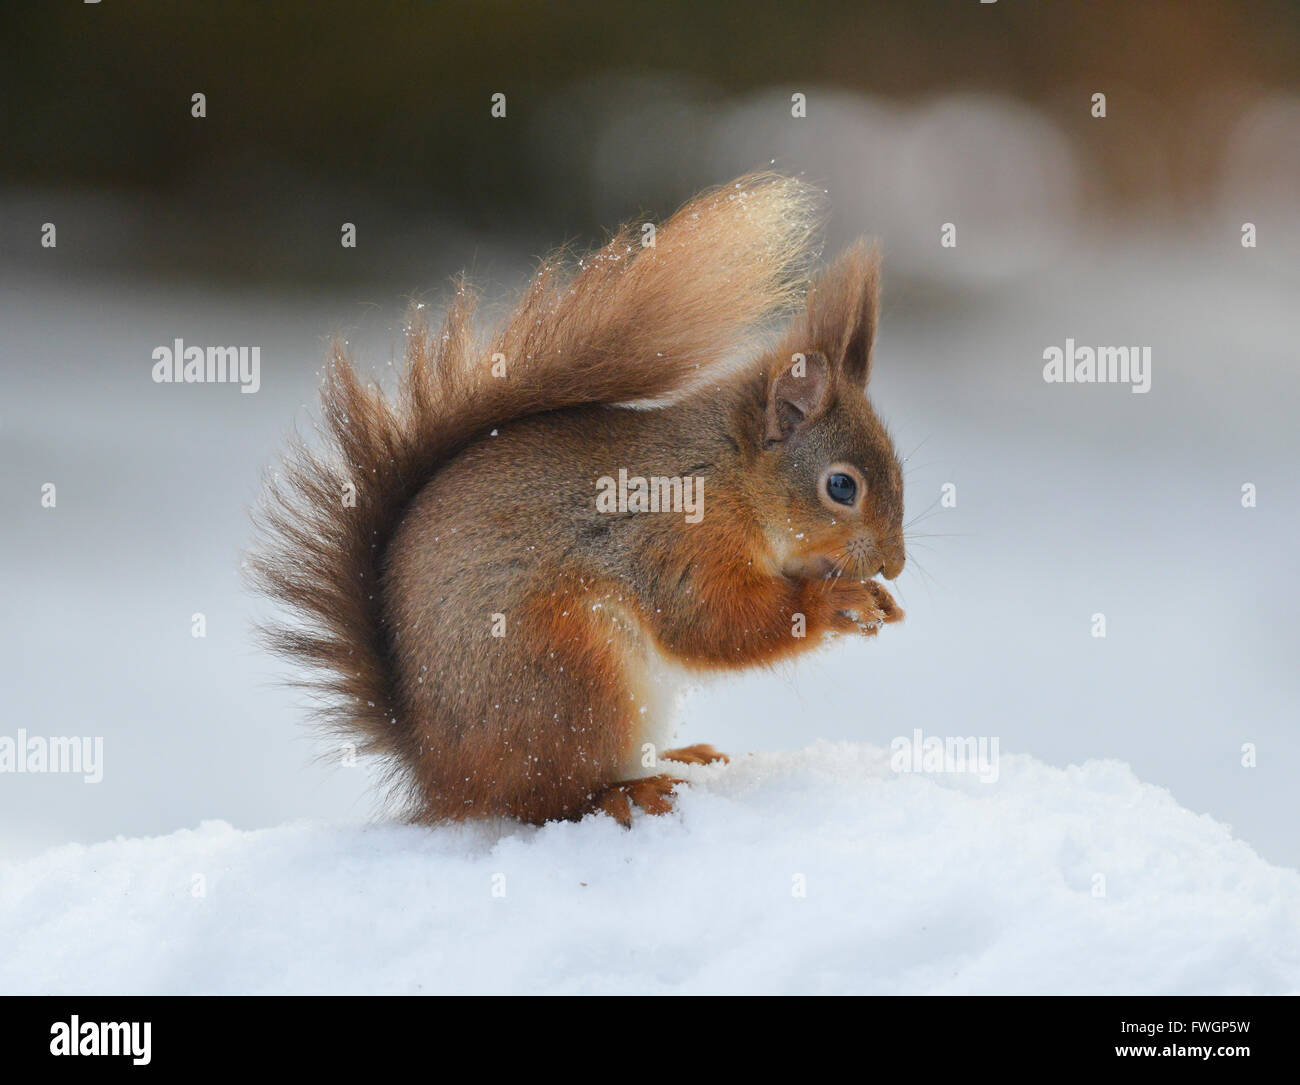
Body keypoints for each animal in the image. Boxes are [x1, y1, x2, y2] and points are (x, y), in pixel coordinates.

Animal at [251, 173, 905, 828]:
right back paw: (627, 791)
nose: (894, 564)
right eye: (841, 486)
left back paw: (681, 757)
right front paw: (834, 602)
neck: (729, 476)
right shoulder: (674, 540)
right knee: (546, 800)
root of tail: (440, 773)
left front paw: (877, 602)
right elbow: (713, 623)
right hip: (570, 676)